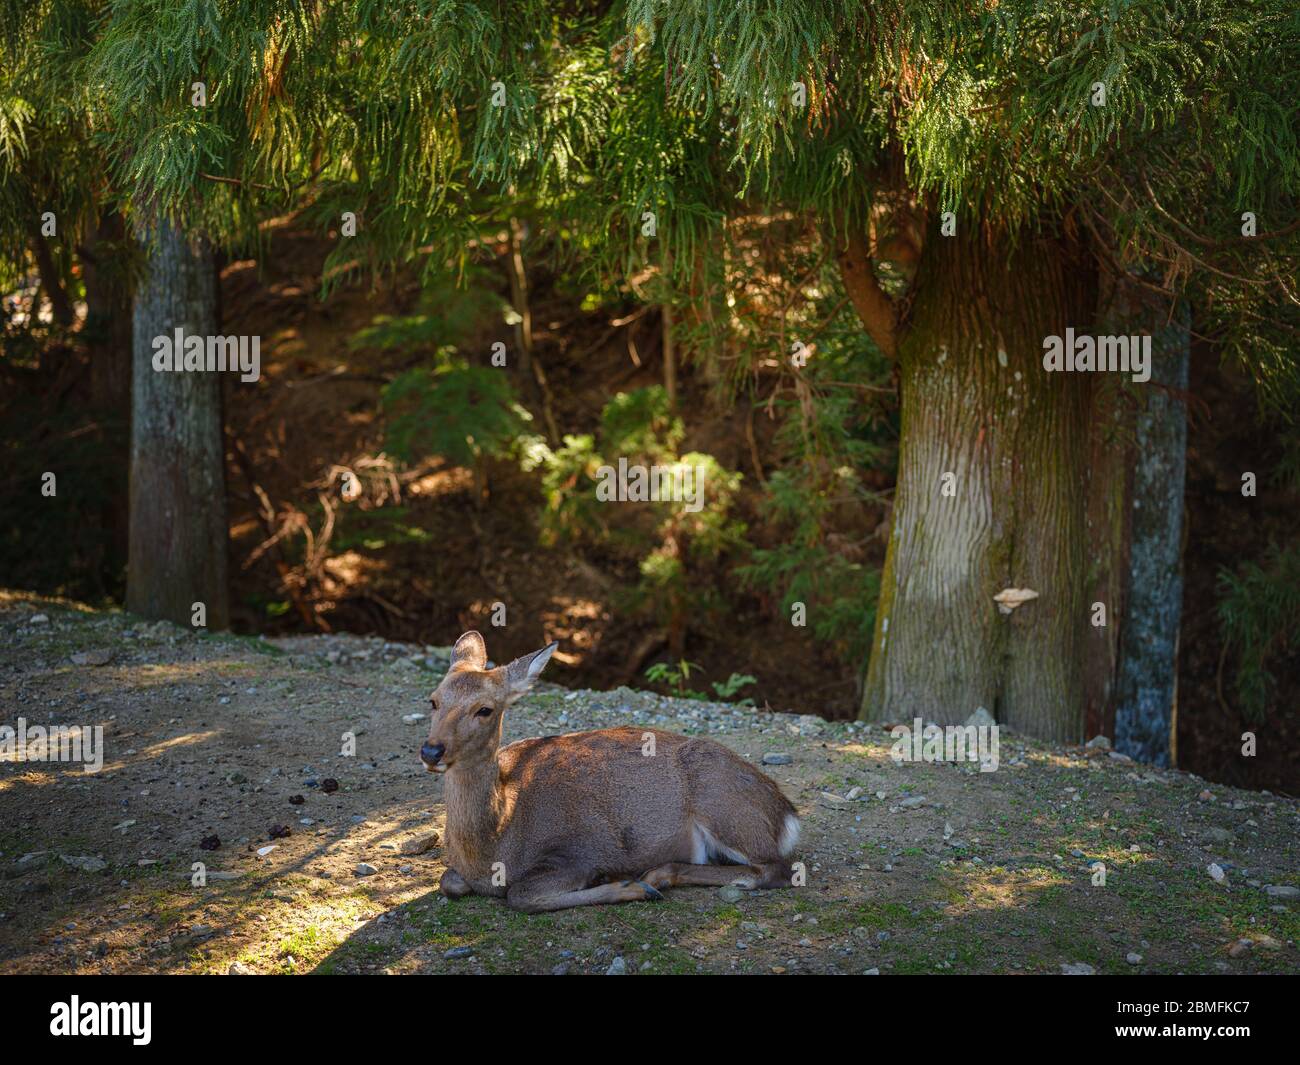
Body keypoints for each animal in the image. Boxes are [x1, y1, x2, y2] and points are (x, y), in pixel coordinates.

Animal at [419, 632, 801, 913]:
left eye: (484, 709)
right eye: (433, 700)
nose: (431, 751)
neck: (496, 843)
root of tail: (787, 814)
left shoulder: (577, 853)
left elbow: (521, 896)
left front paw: (623, 887)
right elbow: (448, 881)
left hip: (723, 804)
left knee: (775, 869)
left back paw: (652, 880)